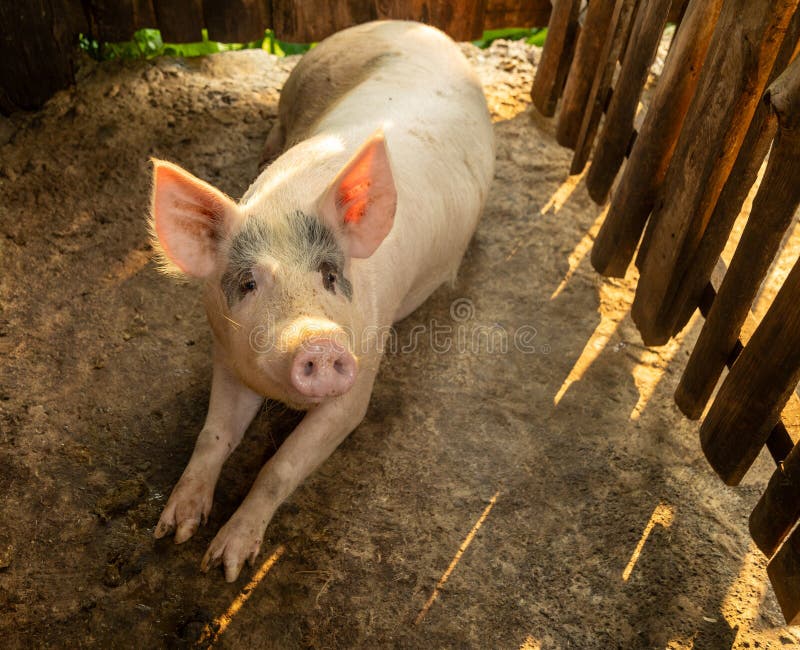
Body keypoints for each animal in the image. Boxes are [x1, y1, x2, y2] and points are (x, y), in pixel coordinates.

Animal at [149, 20, 494, 581]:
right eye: (249, 283)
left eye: (330, 276)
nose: (319, 342)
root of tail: (414, 25)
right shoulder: (226, 355)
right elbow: (212, 435)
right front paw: (173, 531)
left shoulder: (361, 373)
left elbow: (281, 465)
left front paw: (226, 566)